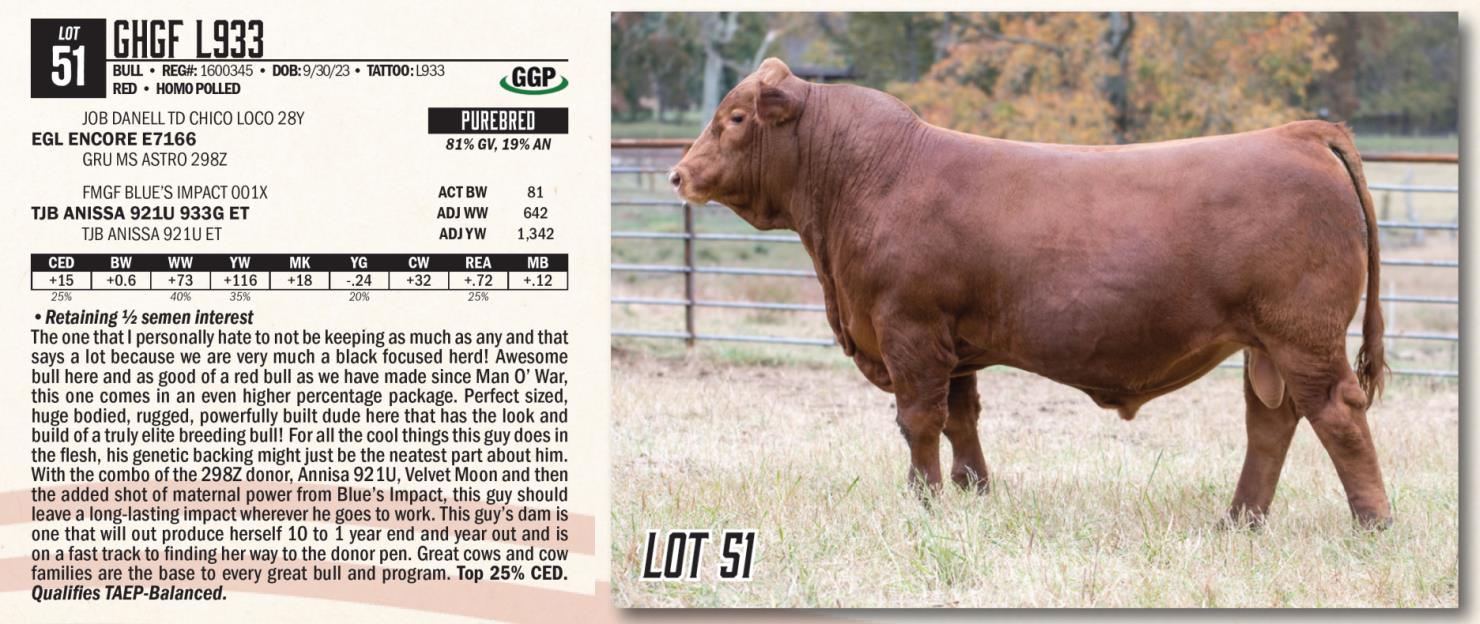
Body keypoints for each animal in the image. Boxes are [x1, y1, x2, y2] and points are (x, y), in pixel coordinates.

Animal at [668, 58, 1391, 529]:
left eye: (735, 117)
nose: (678, 174)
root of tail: (1298, 132)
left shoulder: (909, 329)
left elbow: (918, 421)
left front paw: (925, 502)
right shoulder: (951, 344)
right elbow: (961, 419)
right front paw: (974, 493)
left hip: (1303, 333)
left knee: (1337, 413)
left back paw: (1372, 522)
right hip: (1265, 342)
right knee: (1270, 423)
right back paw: (1239, 521)